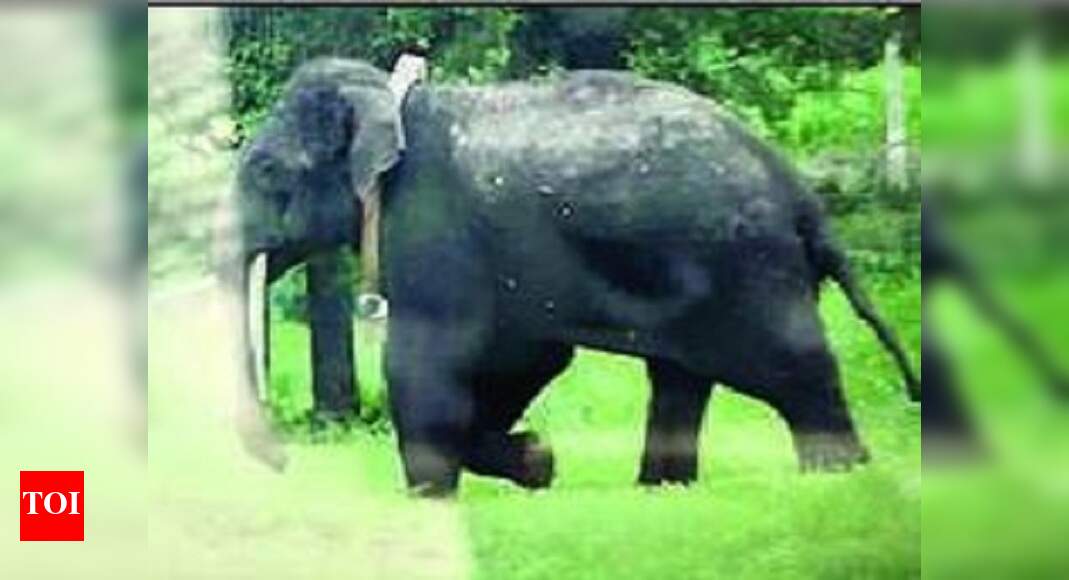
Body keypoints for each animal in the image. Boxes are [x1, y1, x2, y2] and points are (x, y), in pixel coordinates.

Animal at [218, 57, 920, 495]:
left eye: (266, 173)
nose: (284, 463)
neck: (391, 93)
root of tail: (801, 194)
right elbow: (523, 358)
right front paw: (539, 462)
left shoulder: (432, 229)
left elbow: (430, 360)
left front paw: (437, 494)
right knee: (679, 379)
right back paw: (661, 490)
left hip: (745, 265)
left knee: (794, 365)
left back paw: (840, 476)